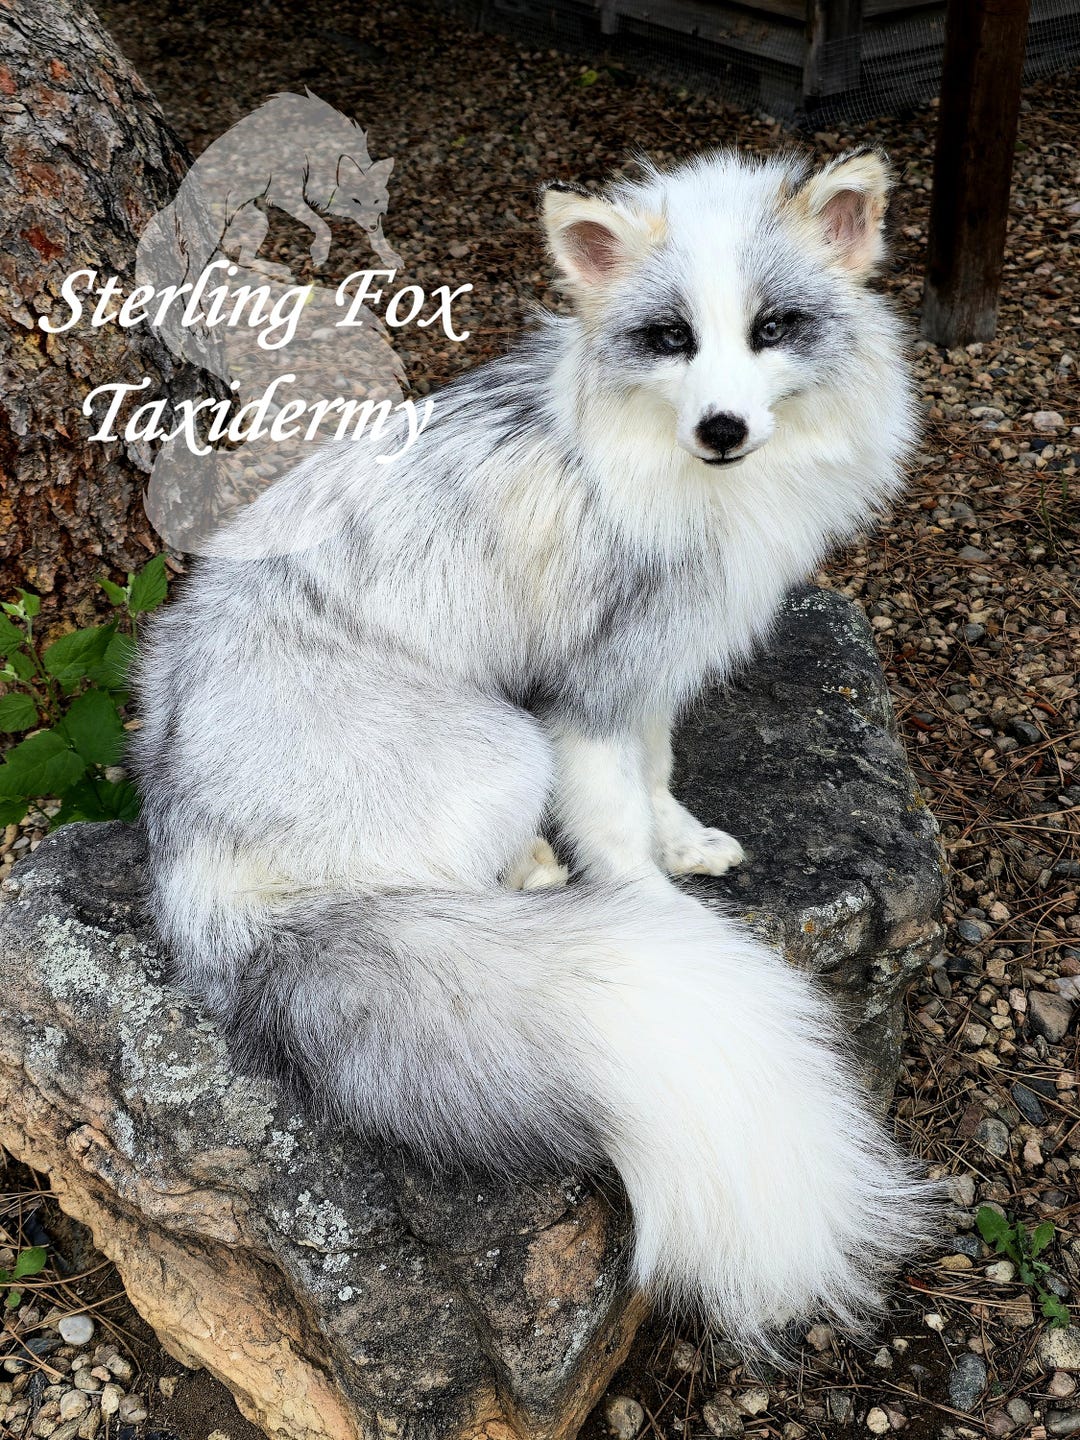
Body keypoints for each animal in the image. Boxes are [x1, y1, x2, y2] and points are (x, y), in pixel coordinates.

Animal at [134, 145, 939, 1352]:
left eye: (774, 327)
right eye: (670, 337)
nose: (722, 429)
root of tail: (195, 871)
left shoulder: (654, 667)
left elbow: (657, 778)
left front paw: (688, 844)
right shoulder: (583, 697)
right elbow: (616, 825)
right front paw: (654, 905)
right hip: (504, 745)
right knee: (459, 889)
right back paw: (539, 885)